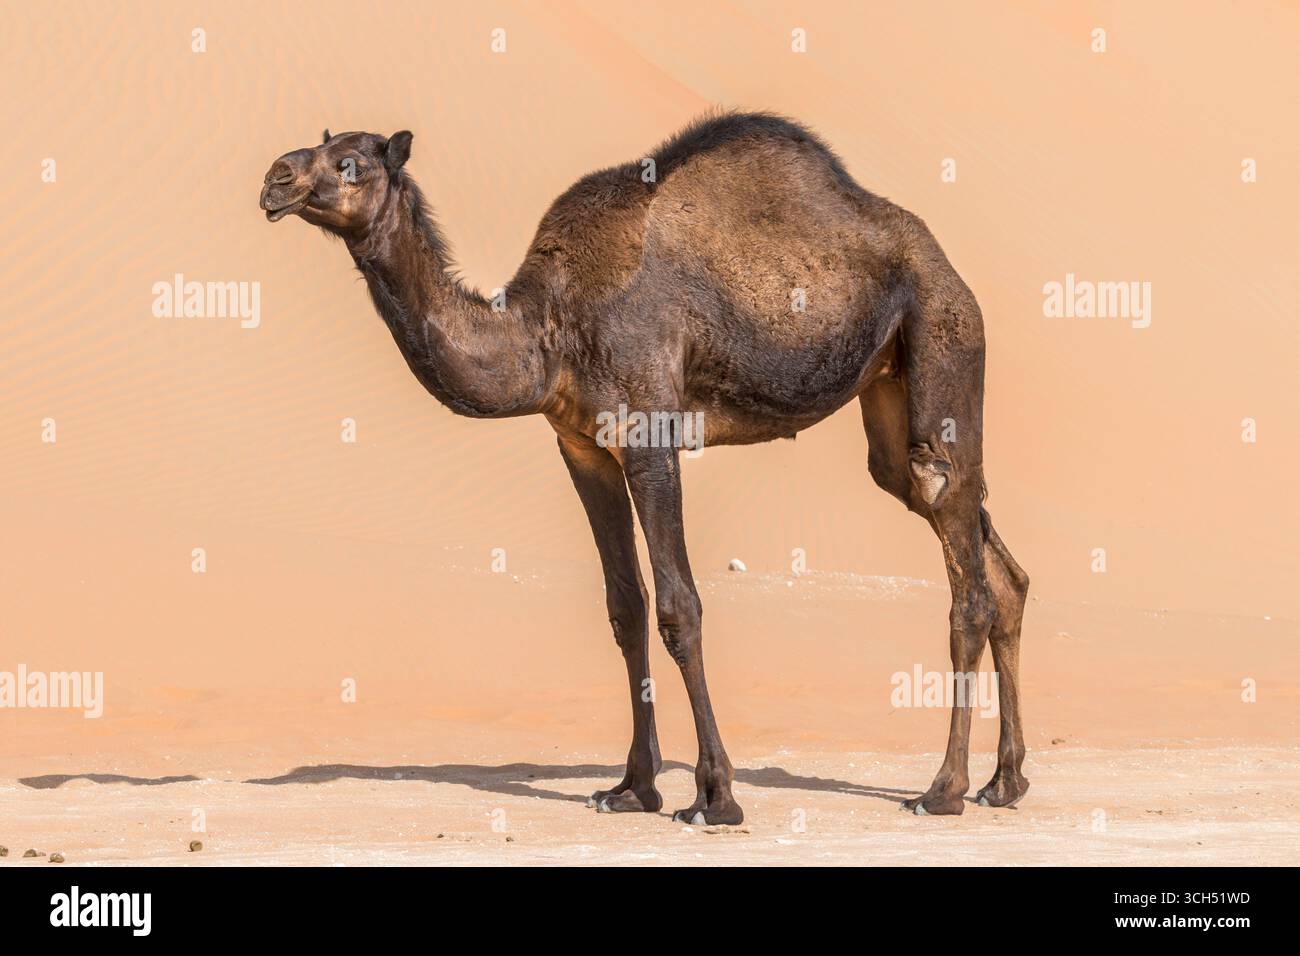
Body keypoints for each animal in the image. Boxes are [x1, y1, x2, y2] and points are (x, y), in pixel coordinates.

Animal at [259, 113, 1030, 825]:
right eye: (318, 147)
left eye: (352, 161)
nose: (275, 177)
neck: (547, 331)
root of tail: (949, 269)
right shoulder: (582, 446)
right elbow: (624, 608)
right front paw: (632, 787)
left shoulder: (648, 431)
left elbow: (678, 606)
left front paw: (715, 795)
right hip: (888, 408)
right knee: (989, 559)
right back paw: (1005, 781)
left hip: (945, 337)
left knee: (960, 553)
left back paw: (943, 789)